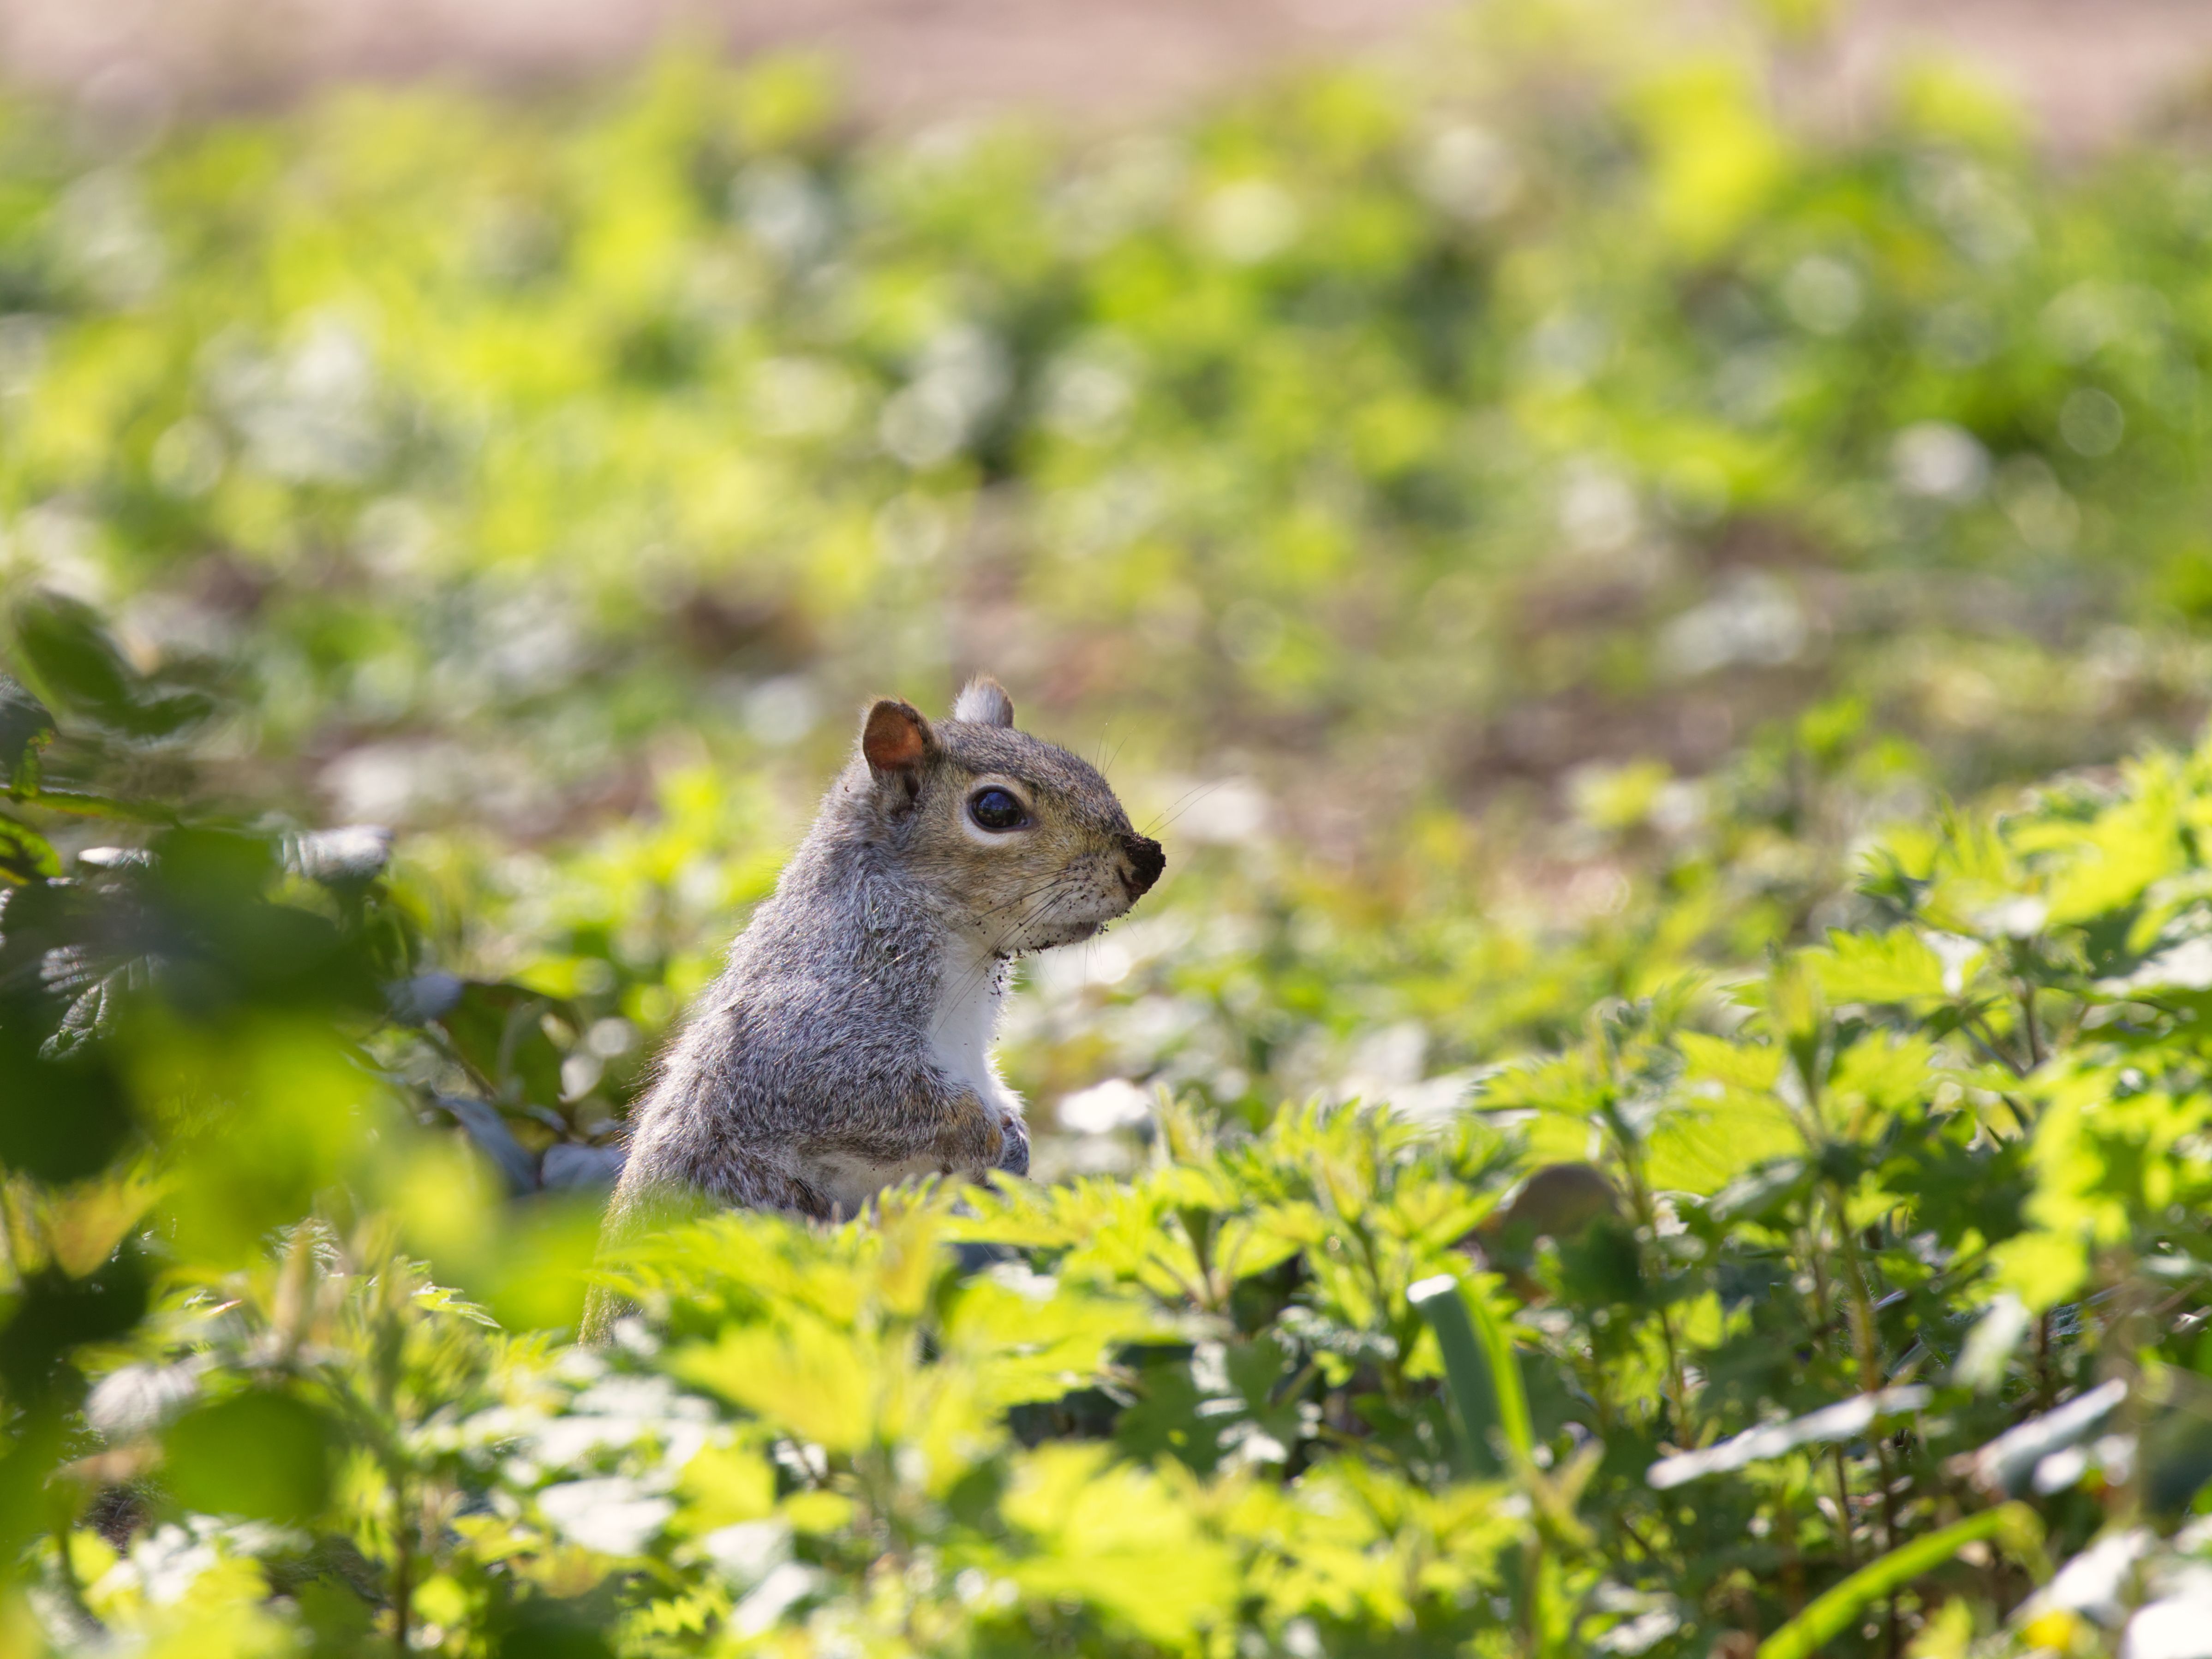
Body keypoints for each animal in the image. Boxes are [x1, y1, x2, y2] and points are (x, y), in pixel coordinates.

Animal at [583, 676, 1163, 1339]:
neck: (964, 953)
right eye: (995, 810)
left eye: (1086, 769)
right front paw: (987, 1135)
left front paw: (1015, 1139)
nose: (1148, 859)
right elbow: (868, 1091)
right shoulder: (805, 1034)